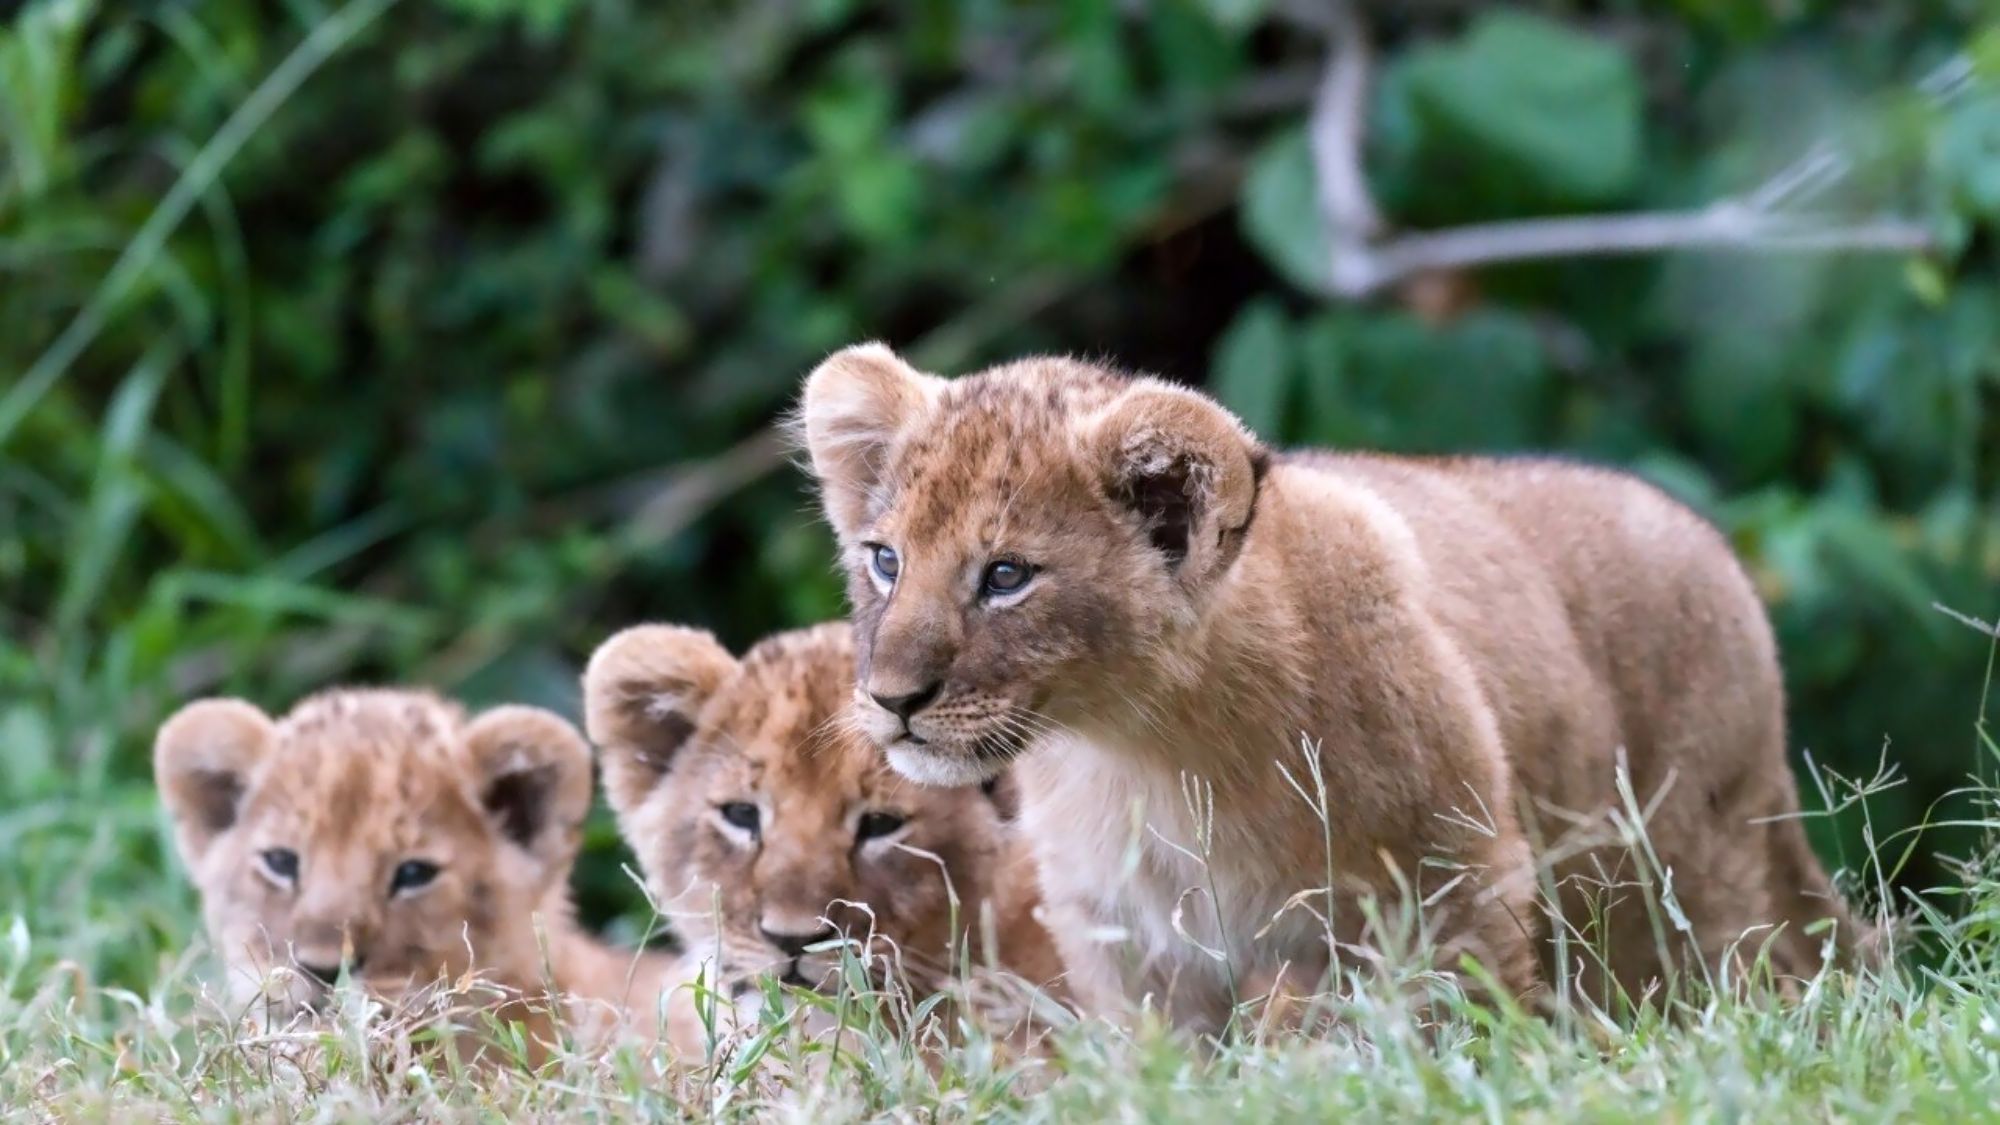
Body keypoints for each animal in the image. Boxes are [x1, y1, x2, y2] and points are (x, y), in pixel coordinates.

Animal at [796, 342, 1868, 1033]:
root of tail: (1719, 549)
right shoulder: (1131, 946)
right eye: (886, 560)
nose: (891, 699)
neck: (1148, 748)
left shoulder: (1455, 883)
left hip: (1695, 867)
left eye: (1007, 576)